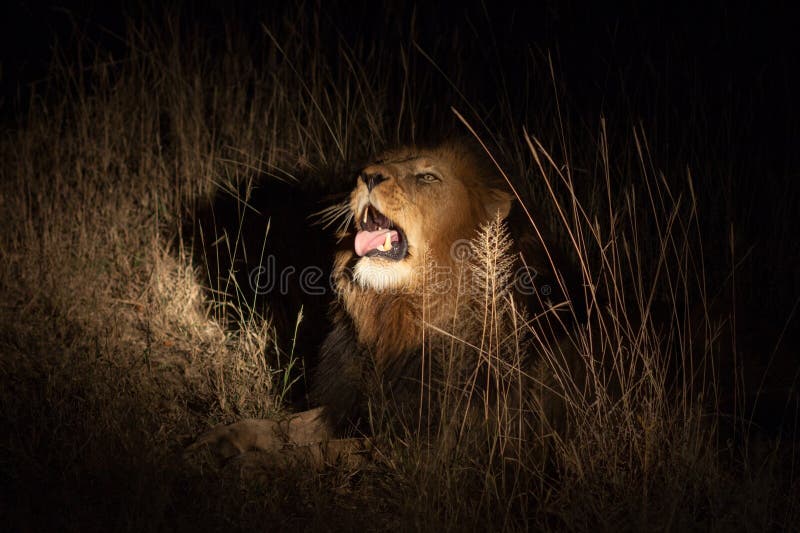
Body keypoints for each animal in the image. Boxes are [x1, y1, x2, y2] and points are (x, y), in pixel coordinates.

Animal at [190, 140, 578, 466]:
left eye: (426, 177)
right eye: (378, 162)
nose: (367, 176)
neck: (397, 314)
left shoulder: (428, 446)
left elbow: (320, 452)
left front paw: (254, 465)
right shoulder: (352, 401)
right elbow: (280, 427)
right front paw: (216, 442)